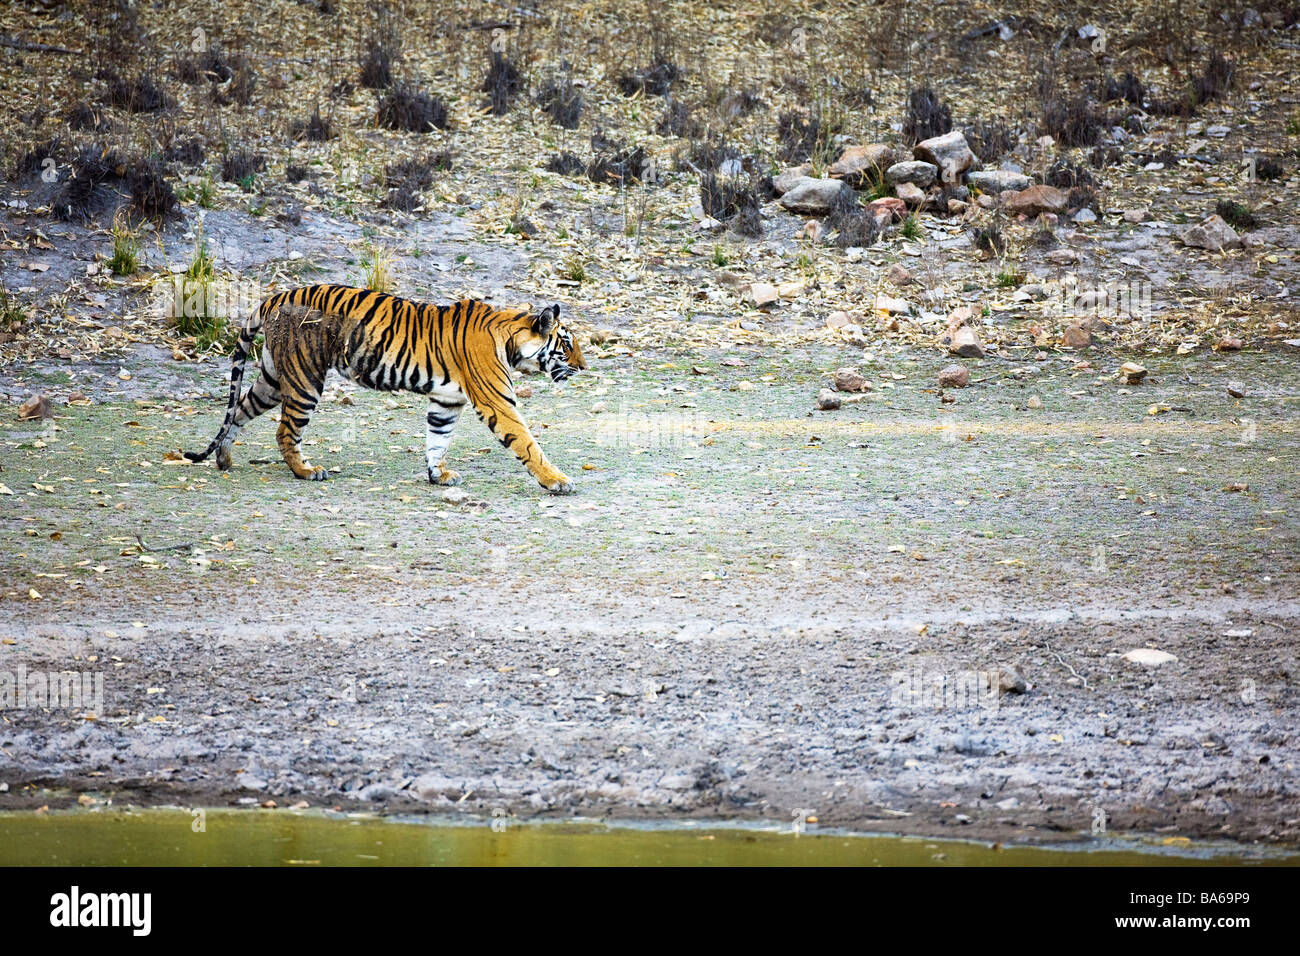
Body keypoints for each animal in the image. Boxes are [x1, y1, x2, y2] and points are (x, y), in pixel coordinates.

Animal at [183, 284, 587, 494]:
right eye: (566, 344)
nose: (585, 367)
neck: (511, 339)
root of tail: (275, 296)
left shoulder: (446, 401)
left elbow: (437, 438)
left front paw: (437, 475)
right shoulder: (496, 401)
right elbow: (527, 443)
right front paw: (557, 481)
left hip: (272, 377)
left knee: (239, 409)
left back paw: (224, 459)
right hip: (305, 380)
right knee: (285, 431)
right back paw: (306, 471)